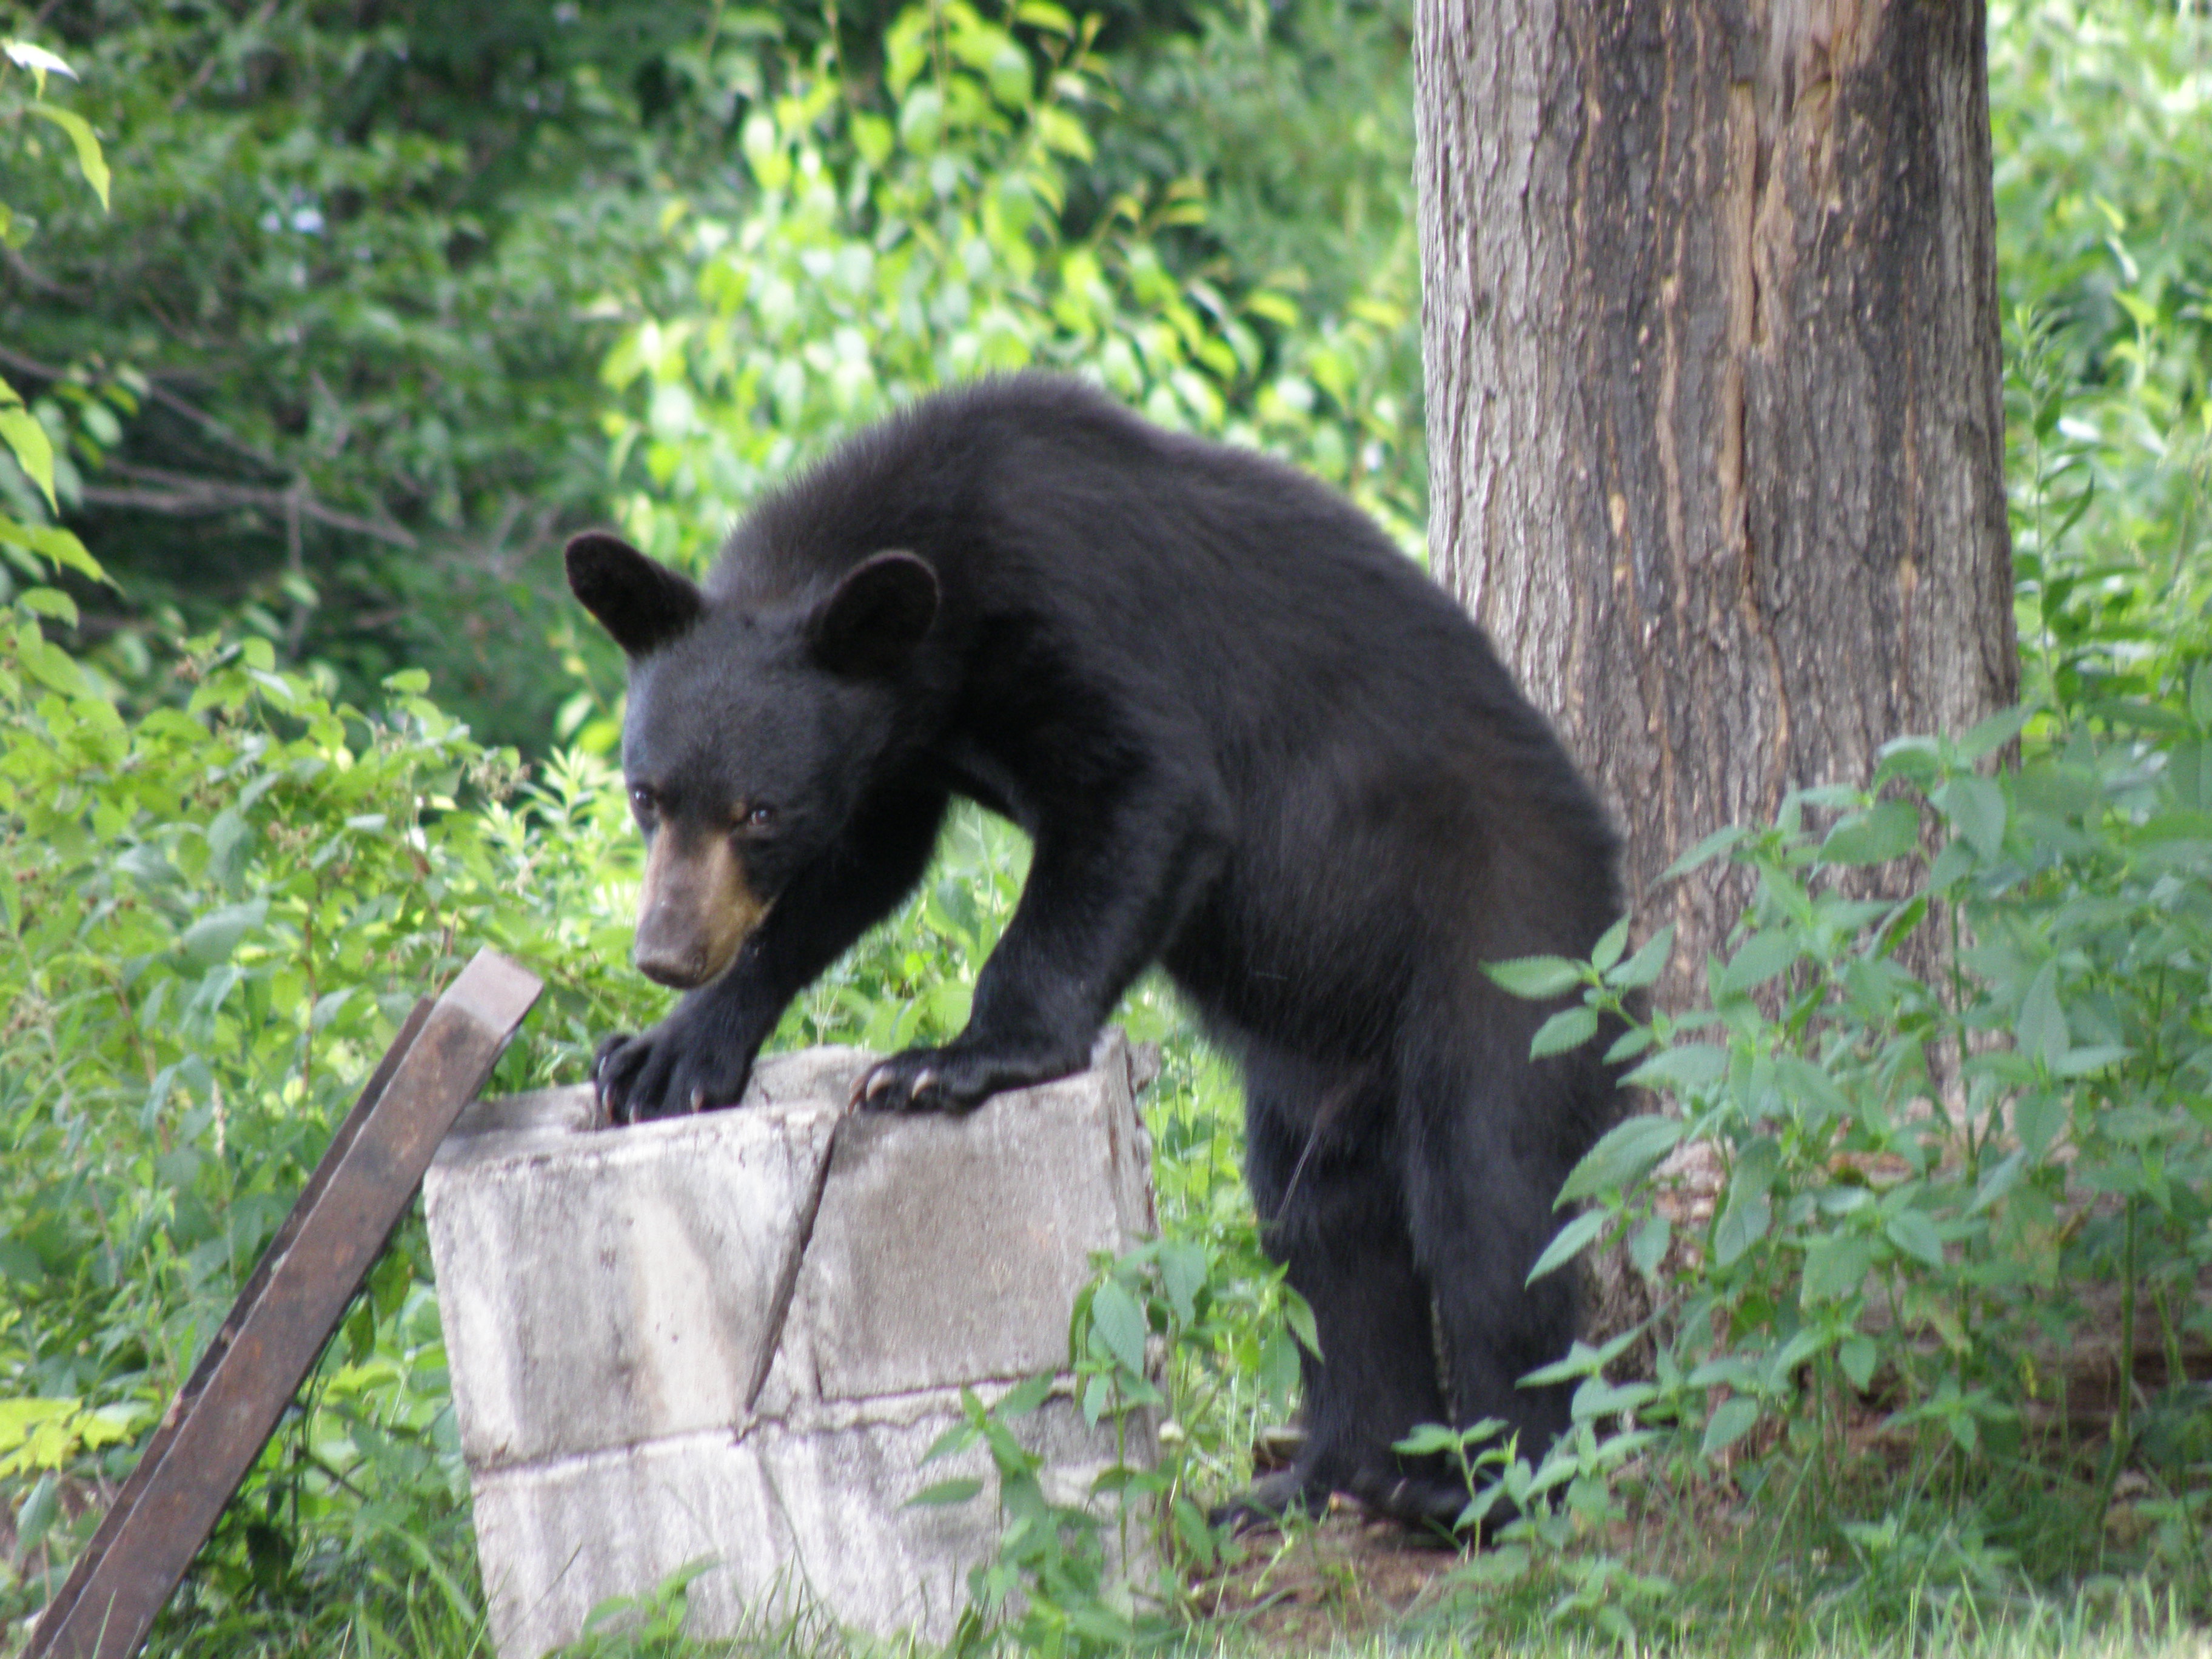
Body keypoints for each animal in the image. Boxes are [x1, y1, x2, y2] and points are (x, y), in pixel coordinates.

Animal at [565, 373, 1623, 1530]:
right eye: (647, 795)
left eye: (758, 811)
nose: (666, 951)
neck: (939, 631)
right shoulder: (896, 746)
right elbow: (855, 871)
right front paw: (665, 1057)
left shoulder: (1075, 614)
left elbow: (1146, 798)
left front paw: (948, 1063)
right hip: (1321, 1057)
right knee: (1324, 1222)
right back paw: (1330, 1476)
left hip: (1511, 930)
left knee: (1493, 1206)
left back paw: (1499, 1488)